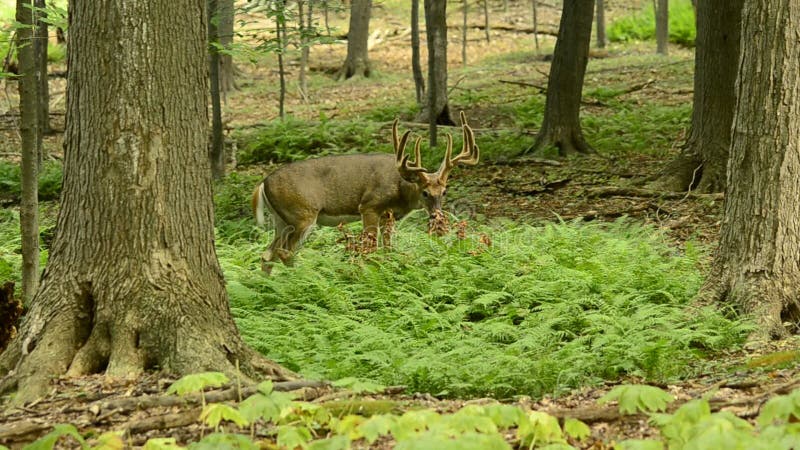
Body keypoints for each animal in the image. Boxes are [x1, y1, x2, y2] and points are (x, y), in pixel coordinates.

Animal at [251, 111, 479, 273]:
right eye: (425, 192)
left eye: (444, 191)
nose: (436, 215)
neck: (401, 189)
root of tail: (262, 183)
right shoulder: (369, 206)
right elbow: (371, 250)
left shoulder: (389, 216)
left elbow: (388, 249)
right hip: (302, 214)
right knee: (284, 252)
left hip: (283, 220)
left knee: (267, 254)